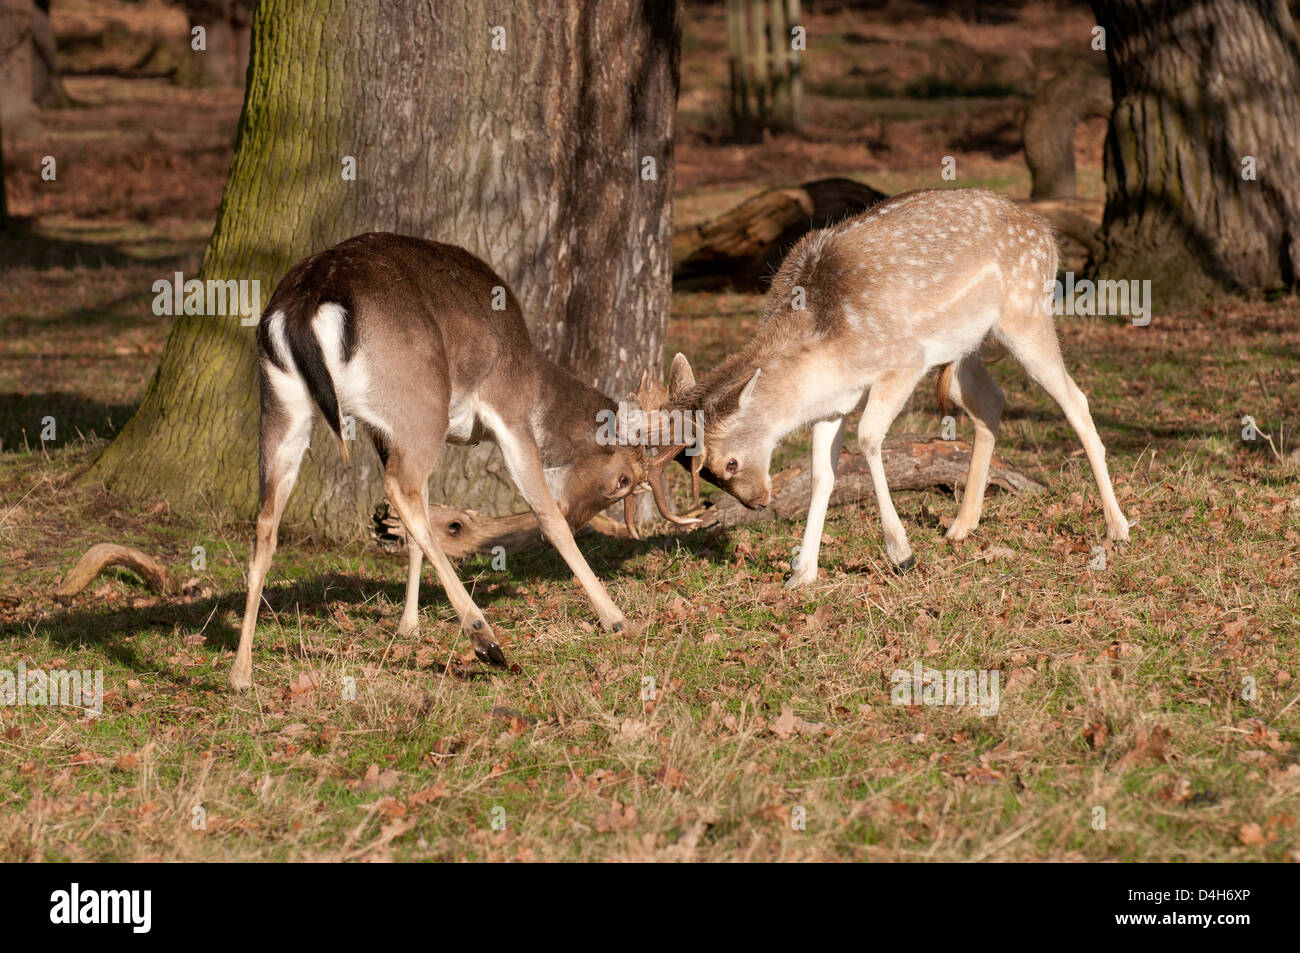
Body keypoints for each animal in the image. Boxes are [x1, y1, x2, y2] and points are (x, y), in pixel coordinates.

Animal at [230, 233, 694, 692]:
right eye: (622, 481)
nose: (582, 517)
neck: (535, 384)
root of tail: (305, 302)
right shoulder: (508, 409)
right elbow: (546, 515)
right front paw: (616, 619)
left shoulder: (384, 431)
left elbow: (420, 521)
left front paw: (408, 626)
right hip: (421, 405)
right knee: (398, 487)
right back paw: (485, 639)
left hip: (283, 407)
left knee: (268, 521)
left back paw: (240, 675)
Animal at [661, 188, 1130, 587]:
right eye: (709, 475)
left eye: (730, 464)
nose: (757, 502)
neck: (828, 345)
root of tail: (1047, 233)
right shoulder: (835, 402)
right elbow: (821, 475)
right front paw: (802, 574)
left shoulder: (904, 359)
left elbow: (869, 438)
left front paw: (901, 553)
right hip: (964, 350)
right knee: (991, 402)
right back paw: (961, 526)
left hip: (1026, 313)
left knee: (1075, 399)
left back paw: (1117, 527)